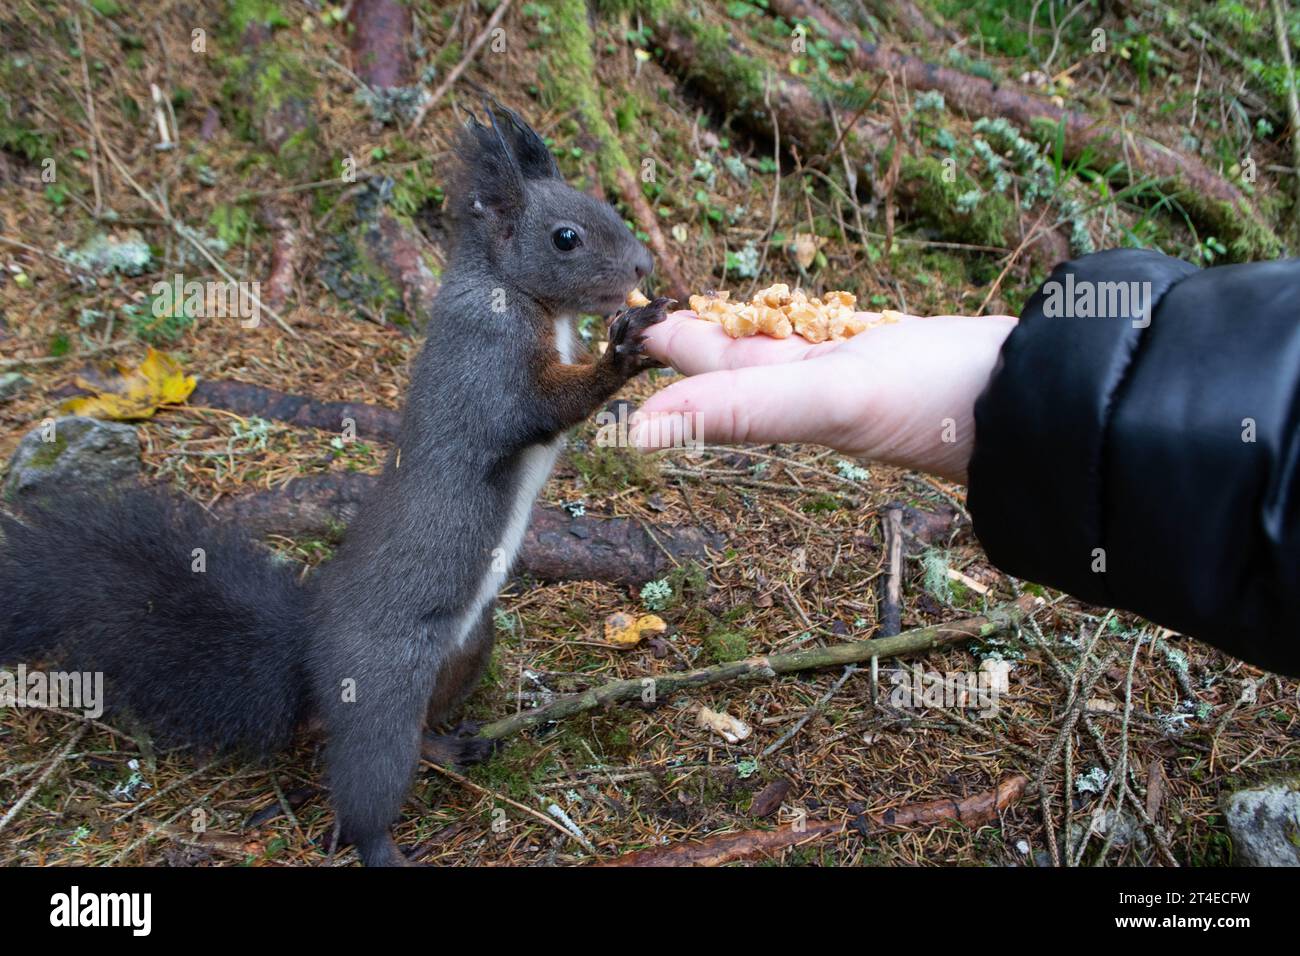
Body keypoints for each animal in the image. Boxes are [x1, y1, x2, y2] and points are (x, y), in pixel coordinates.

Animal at [0, 103, 671, 866]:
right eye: (566, 238)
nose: (644, 265)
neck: (521, 298)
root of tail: (310, 655)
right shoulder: (488, 371)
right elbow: (542, 408)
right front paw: (625, 348)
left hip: (469, 647)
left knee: (423, 730)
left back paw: (449, 747)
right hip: (382, 689)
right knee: (366, 790)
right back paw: (382, 843)